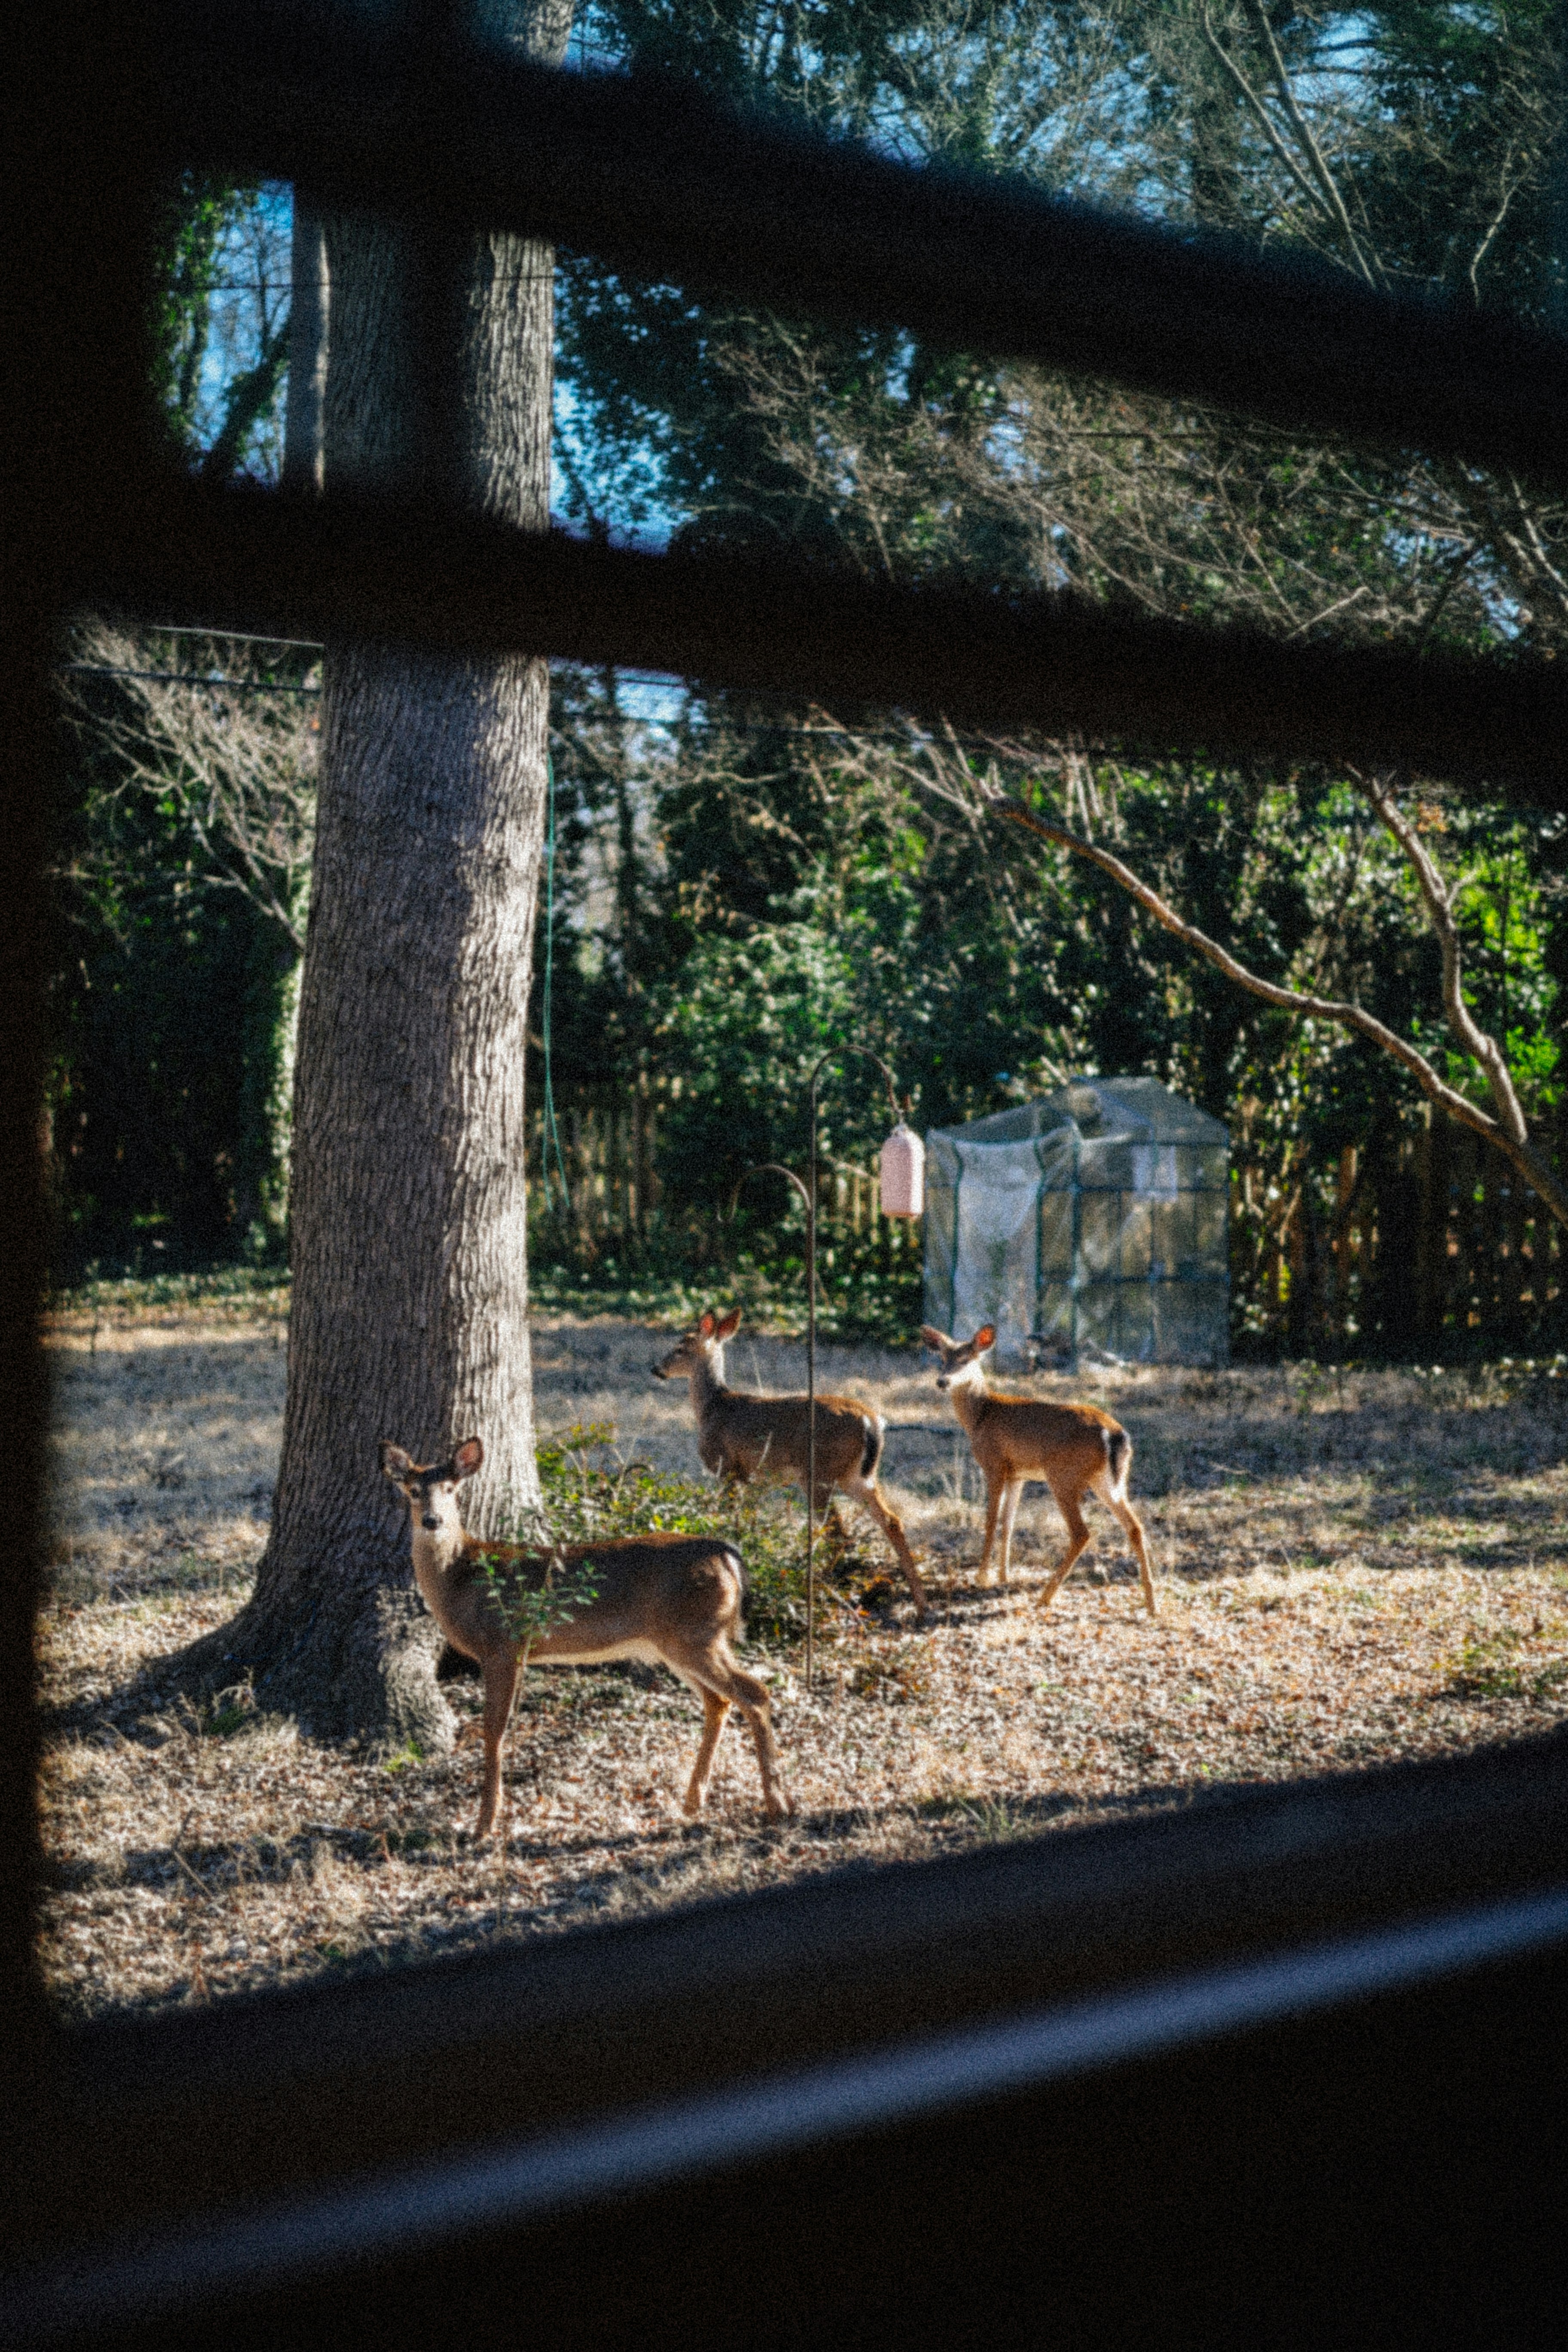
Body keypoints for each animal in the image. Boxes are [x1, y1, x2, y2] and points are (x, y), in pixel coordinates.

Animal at [380, 1435, 792, 1838]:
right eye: (414, 1491)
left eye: (450, 1489)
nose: (432, 1520)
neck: (460, 1579)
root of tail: (729, 1556)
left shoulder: (504, 1644)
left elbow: (494, 1730)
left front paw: (484, 1826)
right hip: (681, 1642)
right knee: (719, 1701)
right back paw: (695, 1801)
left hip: (697, 1634)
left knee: (755, 1693)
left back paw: (778, 1806)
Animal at [652, 1306, 929, 1619]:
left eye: (680, 1348)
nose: (657, 1369)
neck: (712, 1407)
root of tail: (873, 1422)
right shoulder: (747, 1476)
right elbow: (747, 1517)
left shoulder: (726, 1467)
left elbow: (730, 1516)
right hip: (859, 1476)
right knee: (891, 1521)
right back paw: (921, 1604)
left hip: (819, 1473)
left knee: (837, 1531)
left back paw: (828, 1585)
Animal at [919, 1324, 1156, 1616]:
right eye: (943, 1359)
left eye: (967, 1359)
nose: (942, 1382)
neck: (981, 1416)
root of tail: (1114, 1434)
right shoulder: (1018, 1474)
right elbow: (1008, 1522)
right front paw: (1004, 1576)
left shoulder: (994, 1464)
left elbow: (990, 1520)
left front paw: (982, 1576)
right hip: (1108, 1481)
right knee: (1136, 1527)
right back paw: (1151, 1604)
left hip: (1063, 1476)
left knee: (1082, 1532)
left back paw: (1046, 1596)